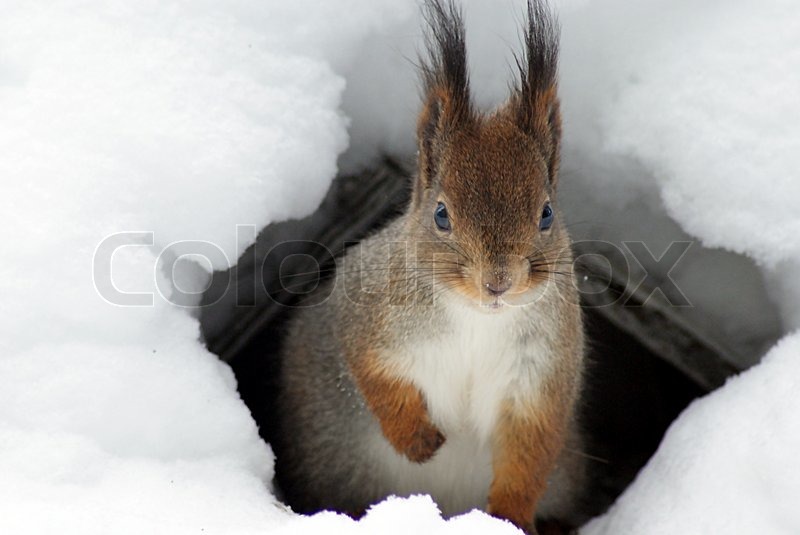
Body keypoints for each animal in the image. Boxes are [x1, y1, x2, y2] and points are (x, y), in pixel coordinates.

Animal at [272, 1, 586, 532]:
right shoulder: (362, 311)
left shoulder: (544, 374)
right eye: (441, 214)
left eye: (546, 213)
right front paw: (418, 442)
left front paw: (509, 518)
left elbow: (530, 452)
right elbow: (373, 375)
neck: (478, 319)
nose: (498, 283)